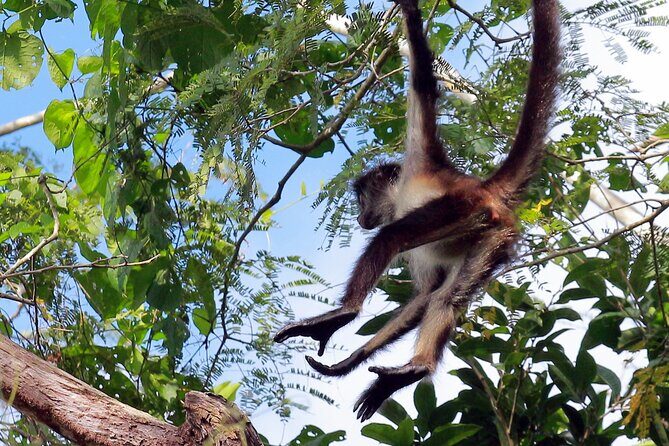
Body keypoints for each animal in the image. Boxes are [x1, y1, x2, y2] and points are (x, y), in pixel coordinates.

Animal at [275, 0, 560, 421]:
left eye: (361, 198)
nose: (359, 216)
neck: (402, 193)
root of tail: (487, 190)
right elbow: (425, 295)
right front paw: (350, 362)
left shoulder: (419, 155)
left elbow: (423, 81)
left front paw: (408, 11)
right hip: (496, 236)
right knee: (446, 298)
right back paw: (414, 368)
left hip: (463, 208)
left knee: (392, 237)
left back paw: (343, 314)